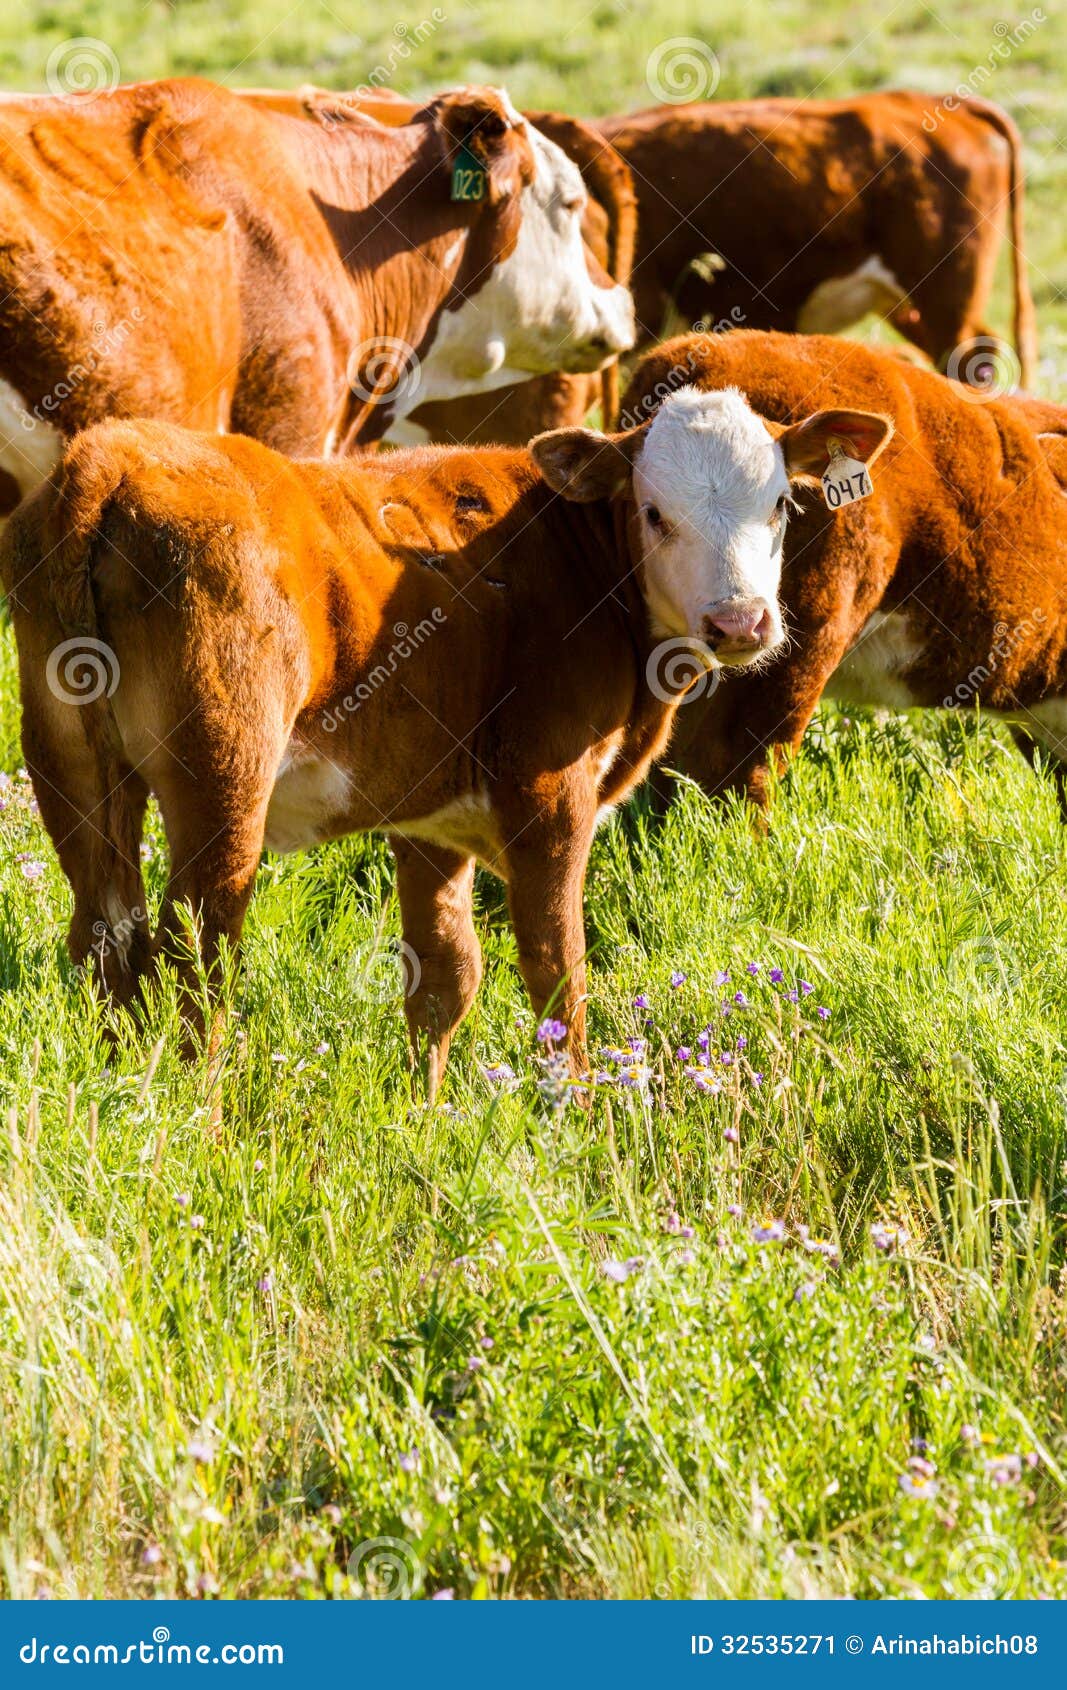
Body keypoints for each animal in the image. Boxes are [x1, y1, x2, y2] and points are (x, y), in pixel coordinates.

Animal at [0, 387, 888, 1094]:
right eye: (654, 514)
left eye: (778, 506)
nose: (739, 622)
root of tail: (114, 456)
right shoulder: (549, 793)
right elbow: (556, 970)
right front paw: (575, 1115)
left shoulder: (427, 812)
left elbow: (443, 975)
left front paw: (420, 1113)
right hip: (223, 779)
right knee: (197, 957)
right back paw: (198, 1120)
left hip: (70, 768)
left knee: (106, 940)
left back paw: (123, 1094)